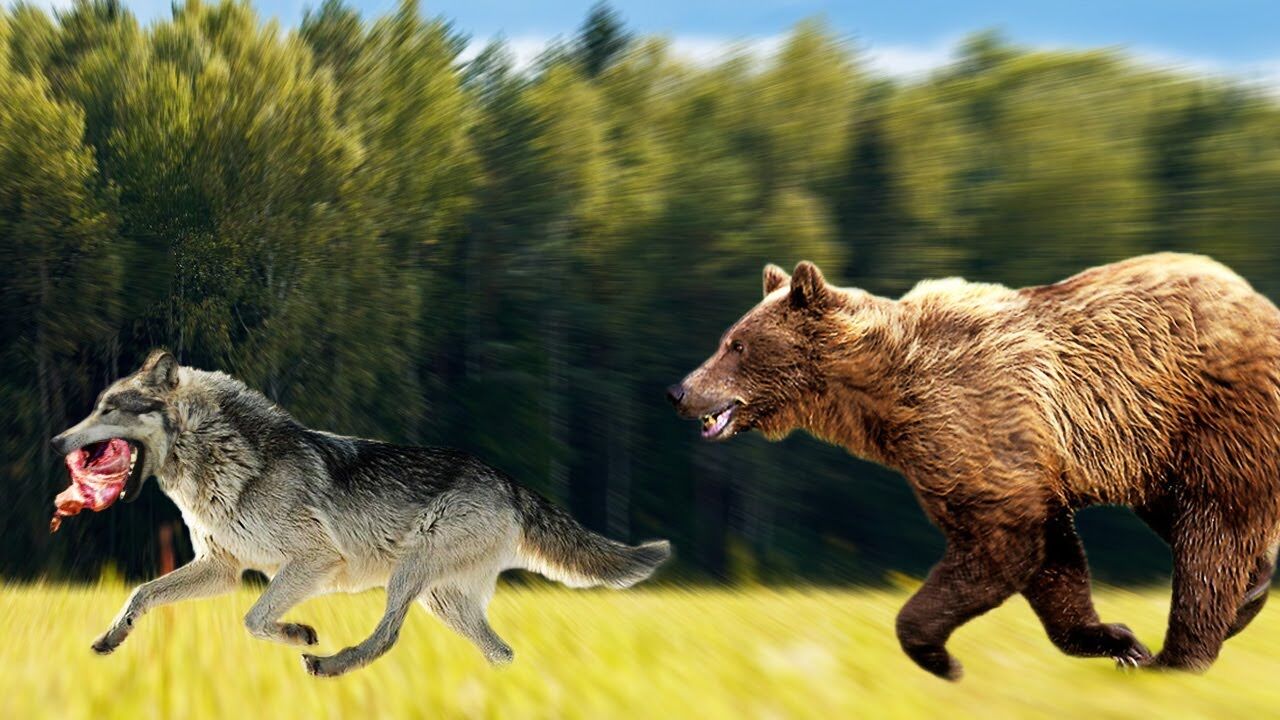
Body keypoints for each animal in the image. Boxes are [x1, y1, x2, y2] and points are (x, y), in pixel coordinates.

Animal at [51, 350, 671, 677]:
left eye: (110, 408)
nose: (57, 441)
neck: (222, 463)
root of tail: (509, 481)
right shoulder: (221, 569)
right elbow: (141, 593)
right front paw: (110, 640)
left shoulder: (311, 562)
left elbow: (255, 618)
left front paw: (300, 632)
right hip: (442, 599)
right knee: (501, 650)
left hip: (410, 577)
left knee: (389, 637)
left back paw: (330, 664)